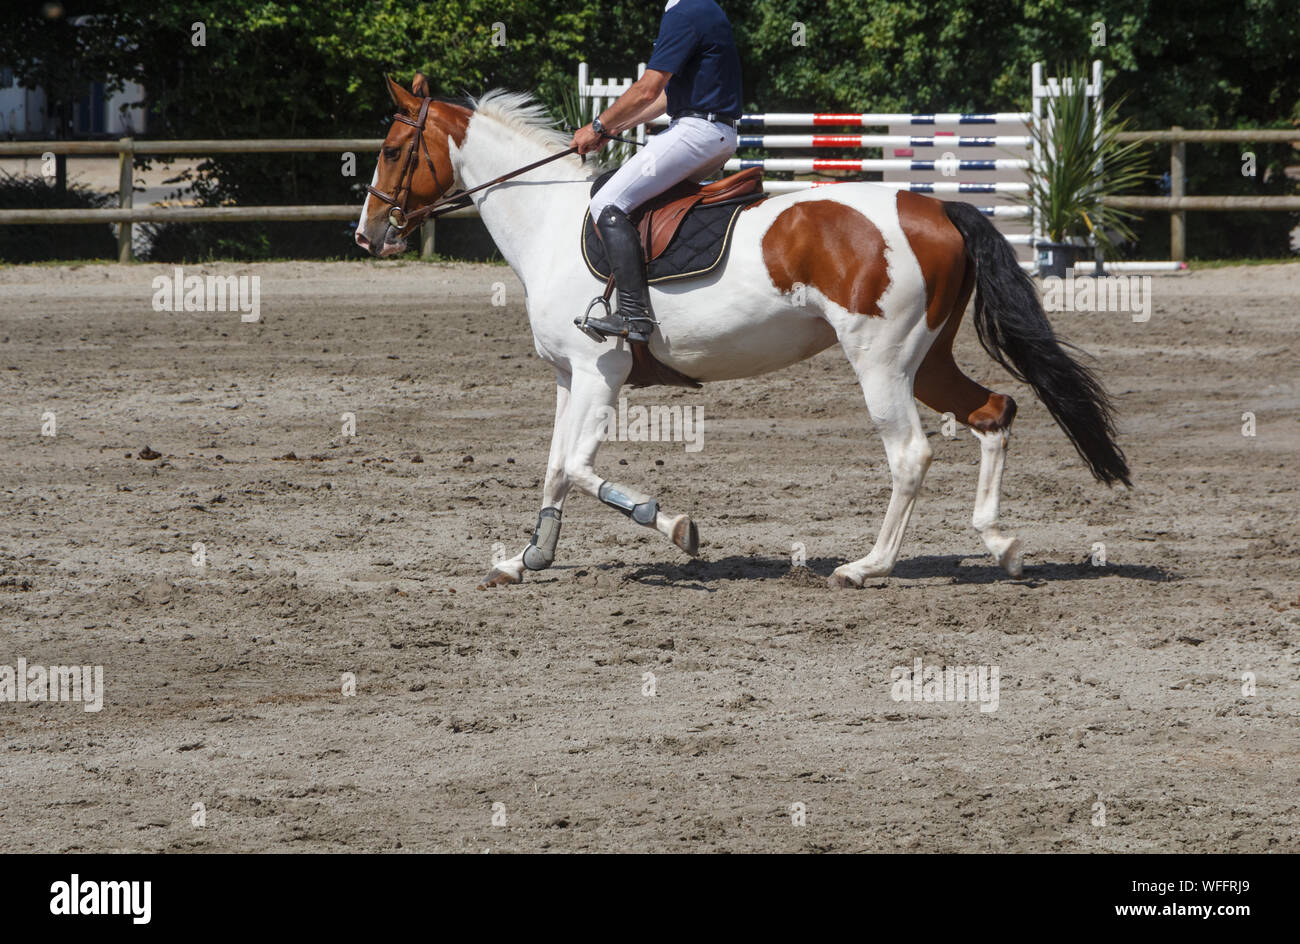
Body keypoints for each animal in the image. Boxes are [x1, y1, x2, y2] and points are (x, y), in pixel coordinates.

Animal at [355, 75, 1130, 590]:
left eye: (391, 149)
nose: (366, 236)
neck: (548, 224)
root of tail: (935, 209)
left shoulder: (603, 371)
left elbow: (576, 466)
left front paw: (674, 526)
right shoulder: (568, 375)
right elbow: (553, 467)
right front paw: (528, 559)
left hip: (880, 361)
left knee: (911, 454)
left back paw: (867, 566)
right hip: (928, 358)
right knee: (995, 411)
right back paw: (1000, 542)